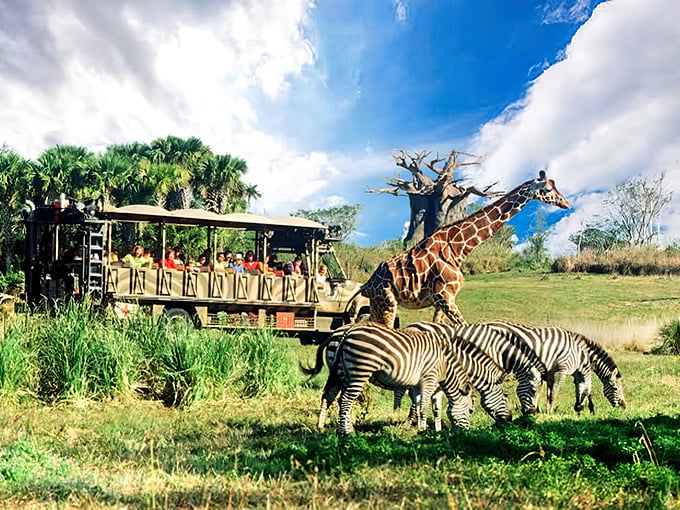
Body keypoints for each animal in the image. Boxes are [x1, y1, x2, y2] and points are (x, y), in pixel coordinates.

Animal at [309, 322, 475, 435]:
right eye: (470, 410)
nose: (465, 433)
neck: (445, 364)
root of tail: (345, 332)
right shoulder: (429, 379)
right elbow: (424, 406)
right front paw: (422, 430)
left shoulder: (417, 383)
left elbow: (418, 405)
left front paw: (419, 428)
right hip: (359, 370)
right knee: (345, 400)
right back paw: (347, 433)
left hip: (339, 372)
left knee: (329, 396)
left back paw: (325, 427)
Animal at [361, 171, 571, 327]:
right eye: (547, 188)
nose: (566, 204)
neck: (458, 248)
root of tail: (368, 284)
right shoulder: (445, 297)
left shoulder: (441, 302)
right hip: (386, 302)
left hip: (379, 304)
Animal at [485, 323, 626, 413]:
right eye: (615, 388)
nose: (623, 406)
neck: (579, 349)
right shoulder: (561, 370)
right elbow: (553, 393)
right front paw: (549, 412)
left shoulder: (550, 373)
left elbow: (545, 392)